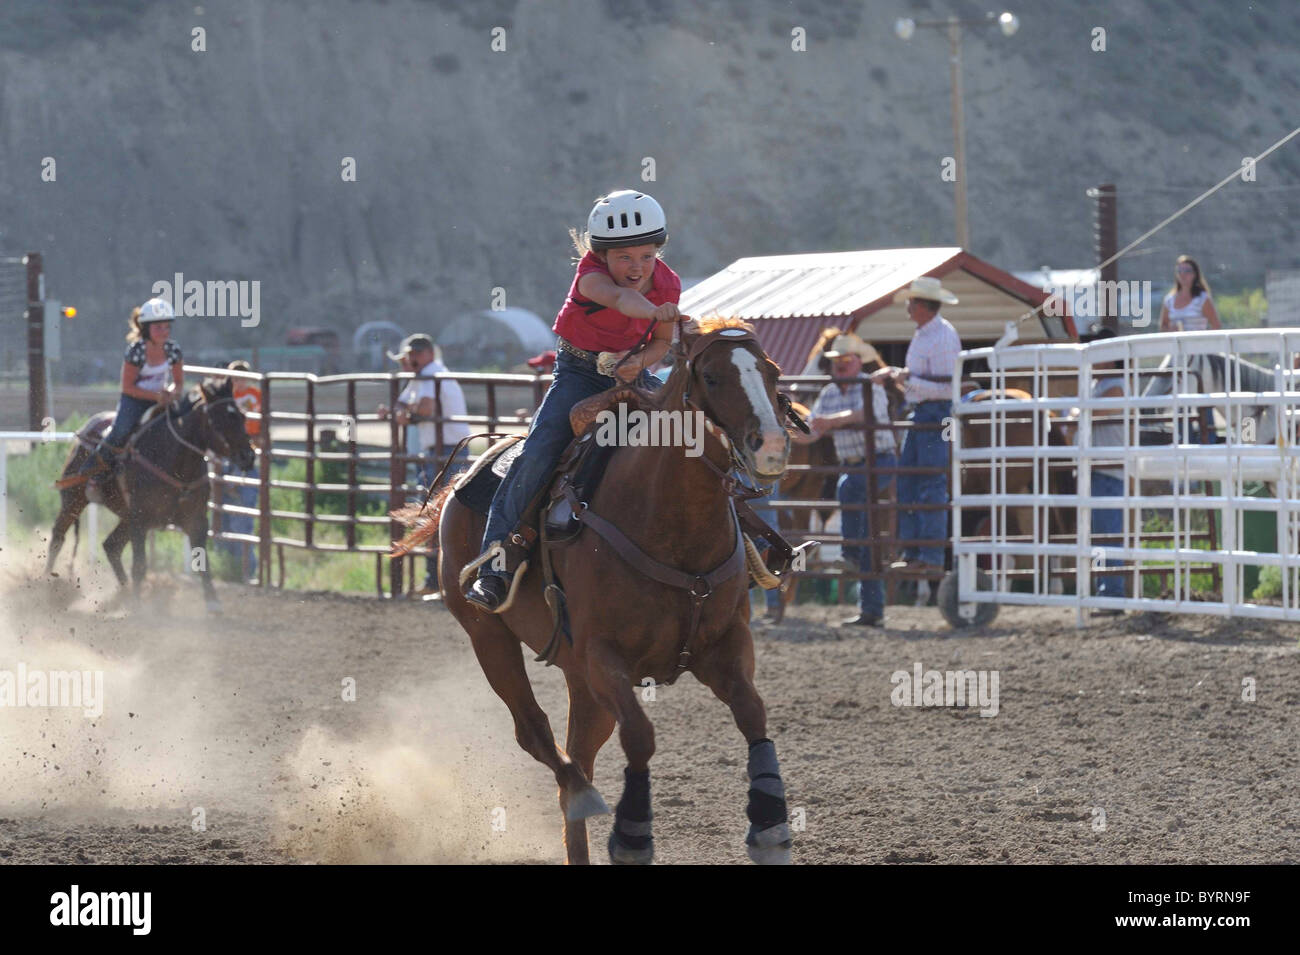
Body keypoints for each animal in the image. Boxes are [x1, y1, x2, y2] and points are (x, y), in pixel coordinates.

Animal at [46, 376, 256, 612]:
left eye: (241, 416)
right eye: (219, 419)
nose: (248, 456)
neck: (175, 460)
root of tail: (85, 430)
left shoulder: (196, 520)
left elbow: (203, 561)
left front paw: (213, 603)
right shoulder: (141, 519)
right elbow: (140, 565)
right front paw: (139, 608)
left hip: (125, 516)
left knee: (111, 546)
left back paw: (125, 594)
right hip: (74, 500)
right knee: (58, 537)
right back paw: (45, 586)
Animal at [429, 317, 793, 865]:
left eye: (772, 372)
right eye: (711, 377)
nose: (770, 445)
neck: (669, 521)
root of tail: (470, 469)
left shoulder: (725, 645)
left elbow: (753, 714)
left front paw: (770, 828)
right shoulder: (604, 656)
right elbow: (640, 735)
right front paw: (632, 836)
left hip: (578, 677)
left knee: (580, 748)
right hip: (489, 637)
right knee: (536, 732)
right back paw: (583, 795)